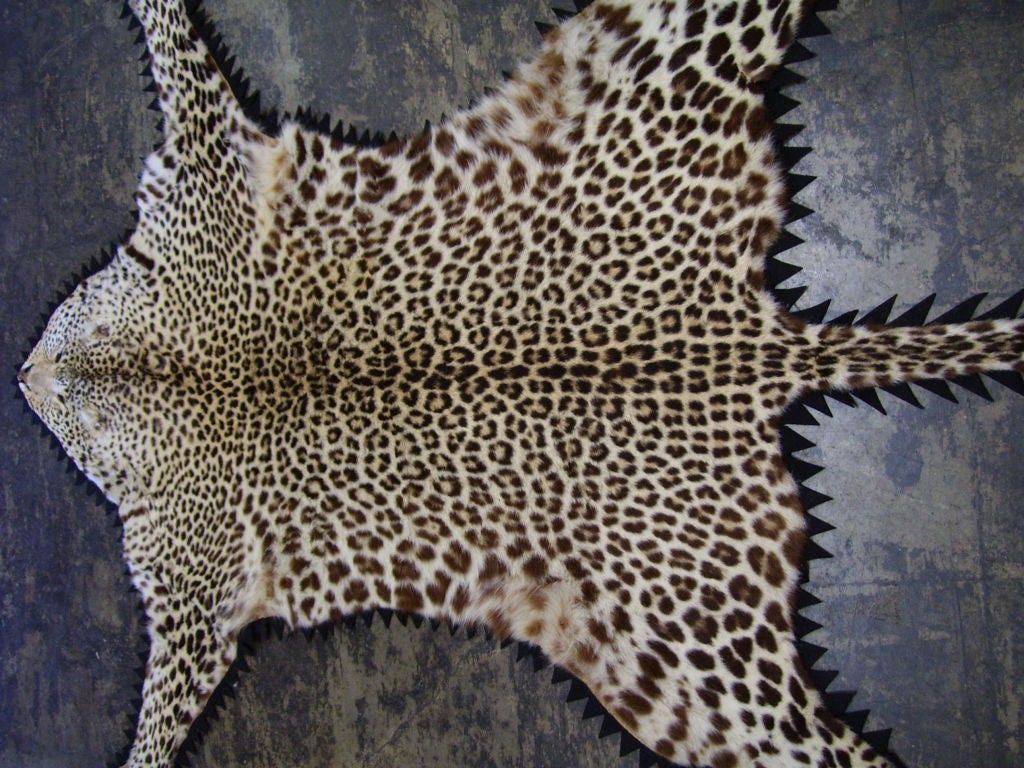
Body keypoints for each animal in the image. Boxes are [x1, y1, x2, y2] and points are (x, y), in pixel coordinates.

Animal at [17, 0, 1024, 767]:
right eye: (66, 360)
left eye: (71, 386)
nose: (24, 373)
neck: (159, 370)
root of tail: (760, 343)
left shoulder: (191, 596)